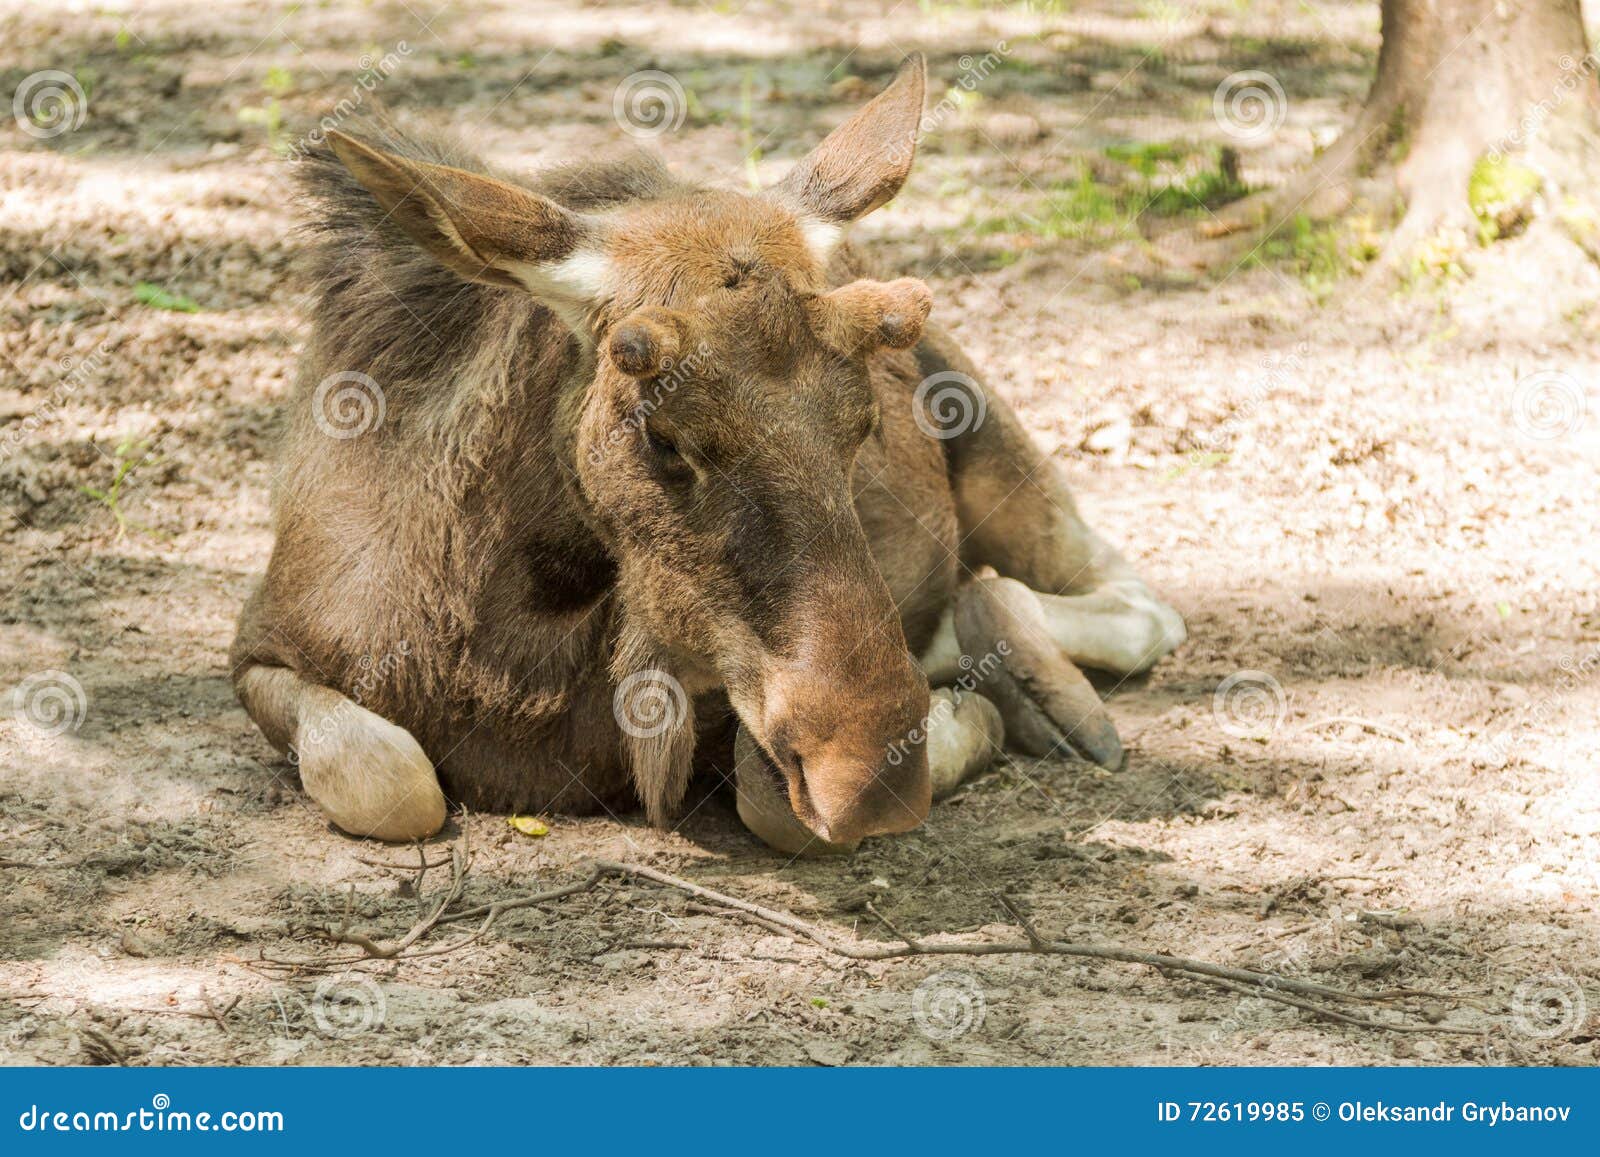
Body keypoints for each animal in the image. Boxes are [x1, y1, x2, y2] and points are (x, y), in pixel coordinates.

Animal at [229, 55, 1186, 856]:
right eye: (663, 434)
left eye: (864, 424)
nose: (871, 774)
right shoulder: (260, 648)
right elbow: (390, 777)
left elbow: (776, 804)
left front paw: (968, 714)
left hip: (996, 440)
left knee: (1135, 604)